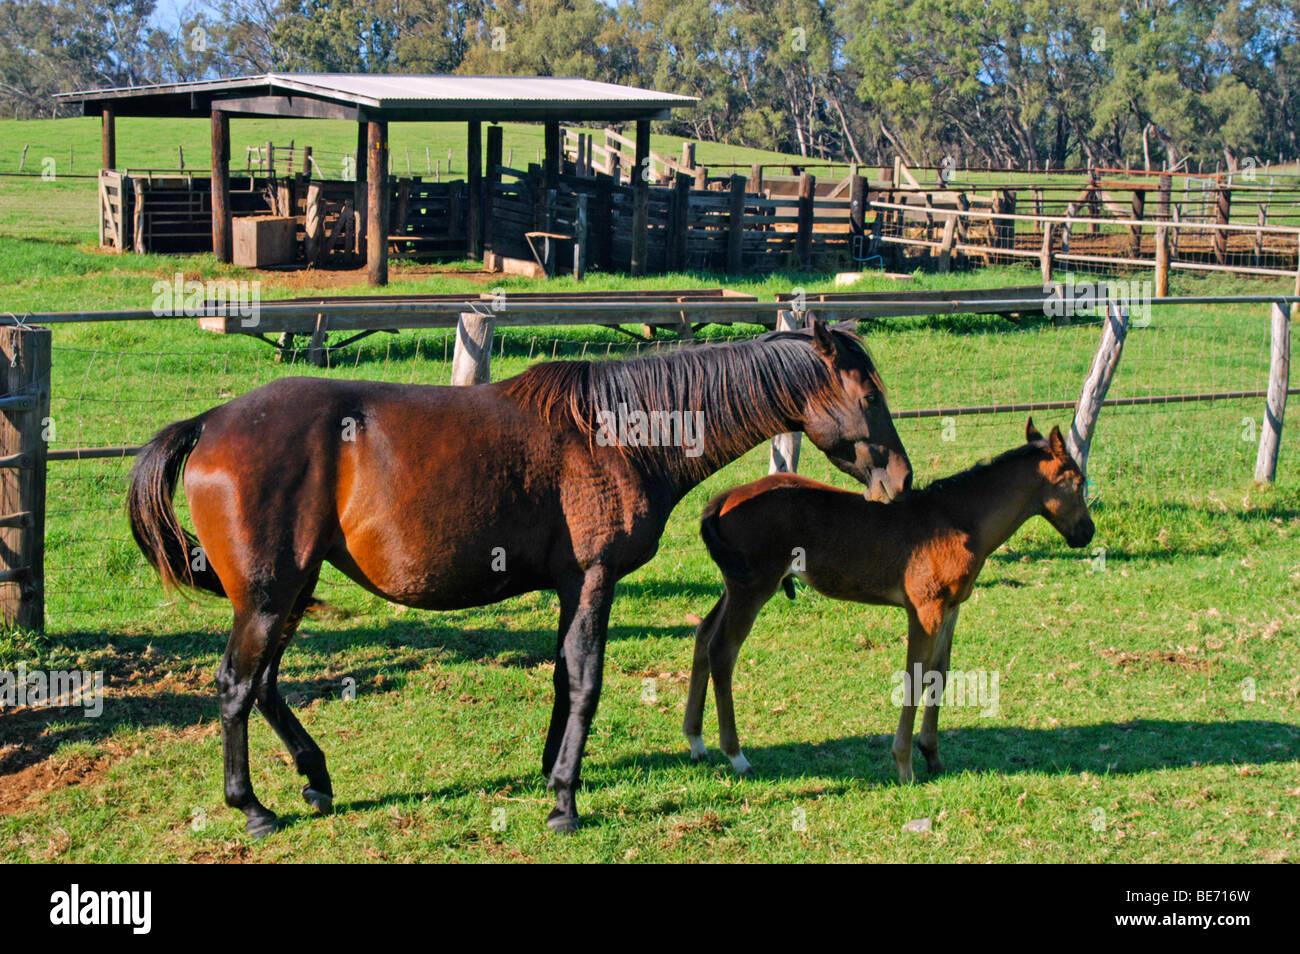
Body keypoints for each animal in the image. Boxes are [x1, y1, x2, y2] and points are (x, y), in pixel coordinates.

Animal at [126, 318, 912, 835]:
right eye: (870, 397)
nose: (901, 480)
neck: (619, 432)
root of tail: (211, 423)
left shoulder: (571, 585)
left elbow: (564, 676)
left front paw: (552, 770)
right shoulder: (595, 578)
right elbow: (588, 680)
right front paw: (564, 801)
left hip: (287, 591)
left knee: (263, 685)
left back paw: (315, 779)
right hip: (267, 597)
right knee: (236, 686)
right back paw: (253, 809)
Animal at [683, 418, 1093, 783]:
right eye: (1077, 482)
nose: (1086, 533)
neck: (960, 521)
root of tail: (722, 499)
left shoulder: (952, 608)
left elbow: (939, 674)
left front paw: (933, 756)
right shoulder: (924, 610)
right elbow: (916, 676)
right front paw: (904, 764)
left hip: (735, 586)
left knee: (703, 635)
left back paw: (696, 741)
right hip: (753, 589)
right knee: (722, 650)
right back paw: (737, 756)